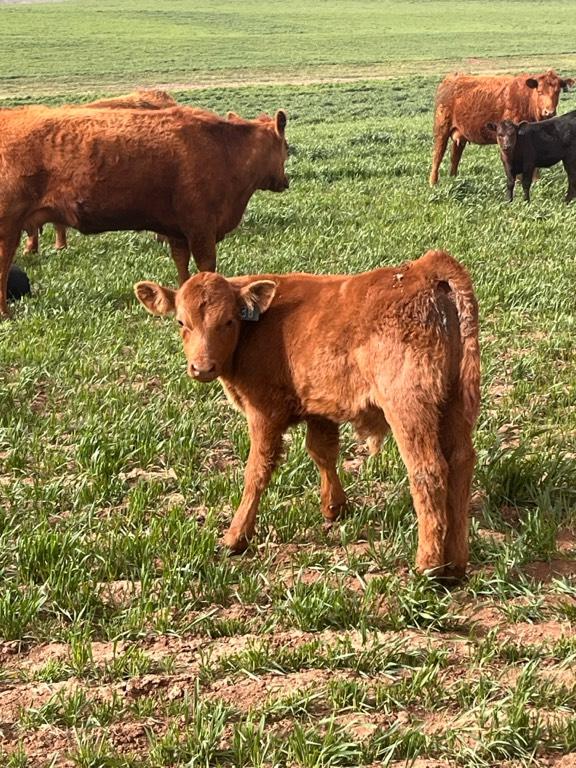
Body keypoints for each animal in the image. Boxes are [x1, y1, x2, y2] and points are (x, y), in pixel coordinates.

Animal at [0, 106, 289, 317]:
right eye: (286, 147)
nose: (285, 181)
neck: (225, 150)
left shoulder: (177, 232)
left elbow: (182, 266)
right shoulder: (201, 229)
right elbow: (207, 267)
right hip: (8, 227)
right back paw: (6, 314)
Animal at [134, 249, 481, 581]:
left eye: (229, 321)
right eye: (182, 322)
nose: (202, 367)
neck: (258, 326)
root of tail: (422, 269)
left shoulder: (263, 413)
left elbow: (256, 471)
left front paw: (236, 537)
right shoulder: (320, 408)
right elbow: (322, 452)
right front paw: (334, 507)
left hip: (409, 407)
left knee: (429, 471)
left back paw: (428, 566)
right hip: (455, 405)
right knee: (461, 462)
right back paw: (456, 565)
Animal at [430, 70, 574, 185]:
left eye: (557, 92)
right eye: (540, 92)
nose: (549, 112)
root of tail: (451, 78)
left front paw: (536, 181)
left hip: (460, 135)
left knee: (455, 157)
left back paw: (453, 179)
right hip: (441, 129)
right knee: (437, 156)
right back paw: (433, 182)